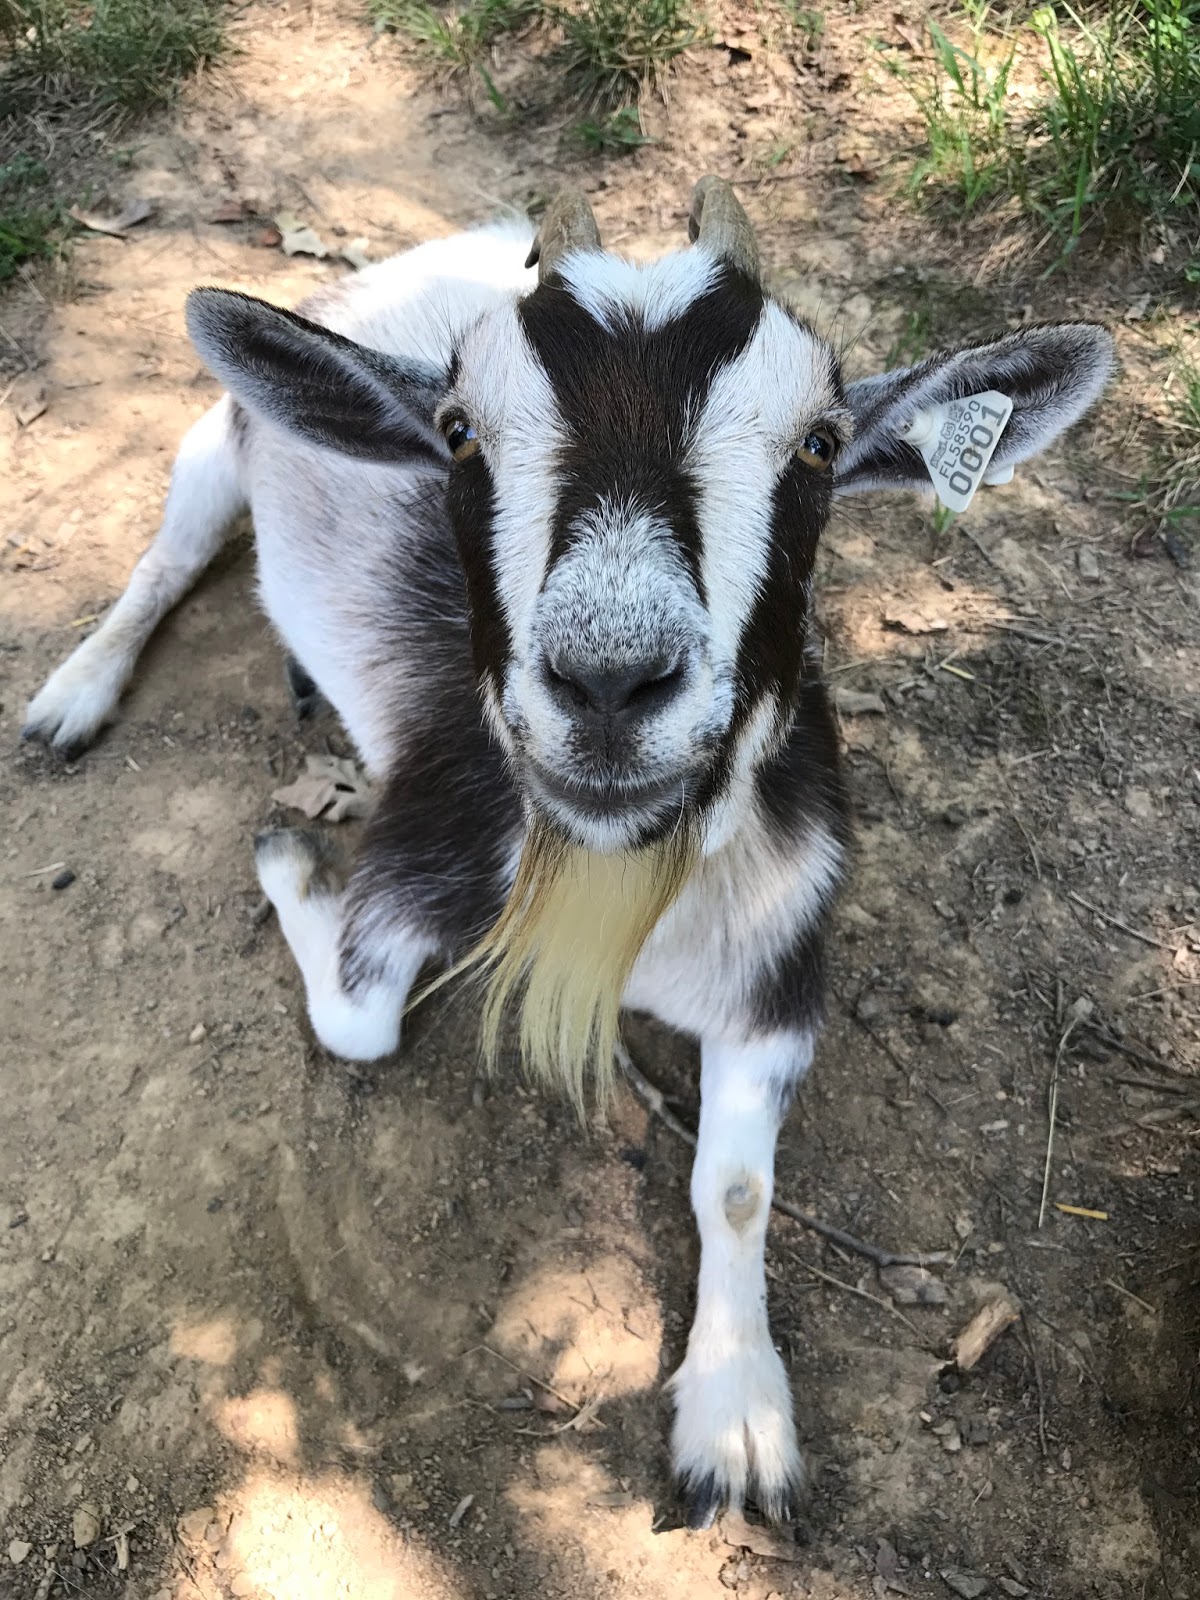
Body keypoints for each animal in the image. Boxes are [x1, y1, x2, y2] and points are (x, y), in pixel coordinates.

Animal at [23, 178, 1115, 1526]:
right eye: (457, 432)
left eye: (819, 444)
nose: (608, 679)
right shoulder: (425, 849)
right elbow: (357, 1018)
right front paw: (289, 860)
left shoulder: (780, 961)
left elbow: (736, 1186)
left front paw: (735, 1417)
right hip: (216, 444)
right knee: (171, 551)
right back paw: (75, 693)